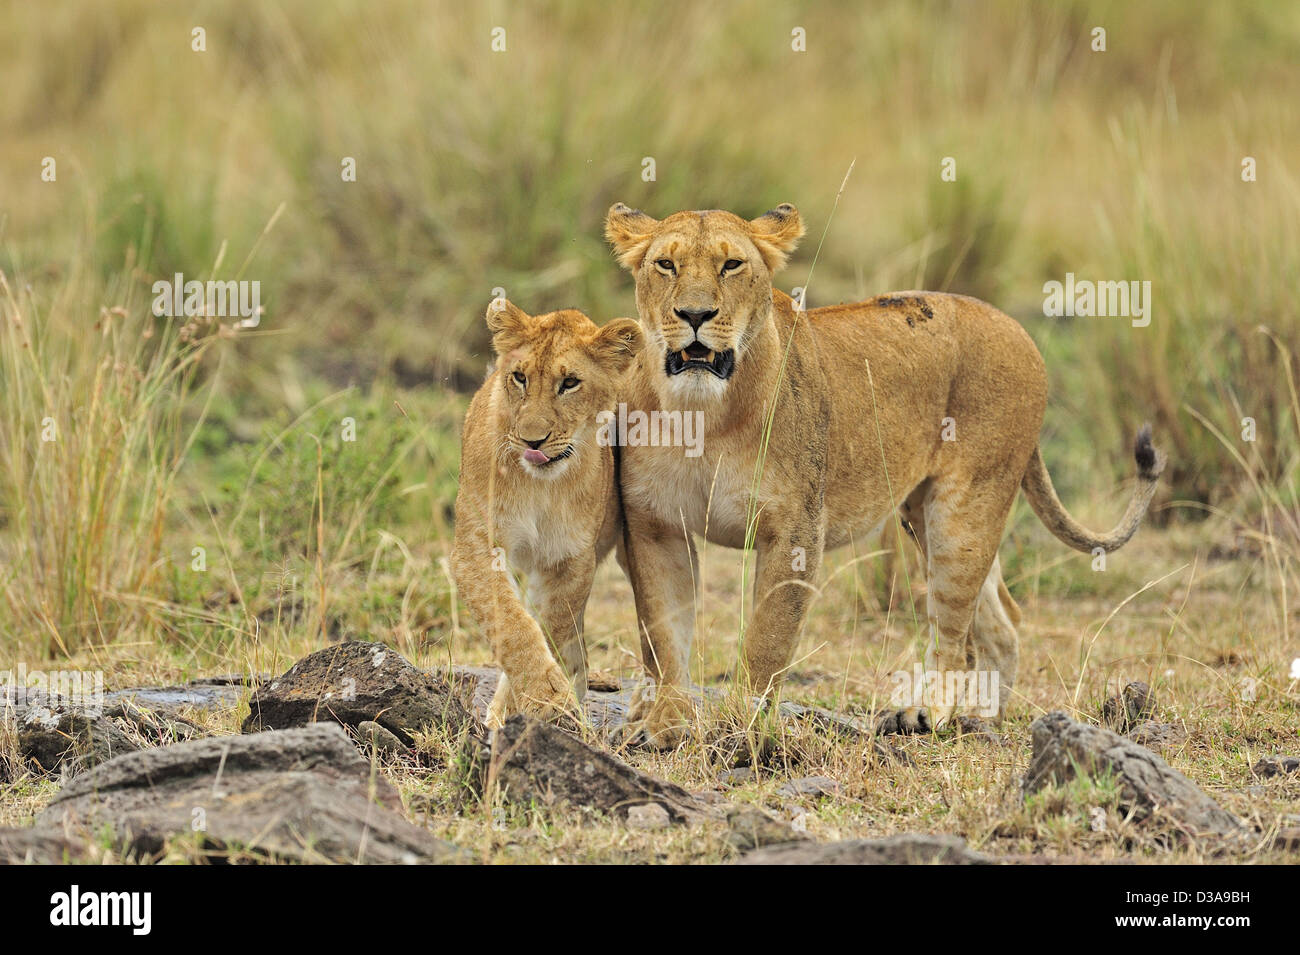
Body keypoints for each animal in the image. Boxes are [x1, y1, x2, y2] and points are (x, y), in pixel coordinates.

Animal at [451, 299, 643, 727]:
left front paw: (533, 706)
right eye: (519, 377)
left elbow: (549, 628)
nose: (532, 440)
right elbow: (513, 625)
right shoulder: (474, 547)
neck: (541, 486)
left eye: (569, 383)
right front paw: (546, 699)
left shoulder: (568, 561)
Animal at [605, 202, 1166, 746]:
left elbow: (767, 638)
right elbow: (663, 634)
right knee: (1002, 617)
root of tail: (1015, 327)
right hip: (927, 516)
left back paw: (928, 714)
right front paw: (665, 724)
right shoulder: (655, 525)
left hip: (964, 511)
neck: (703, 415)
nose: (695, 314)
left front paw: (738, 727)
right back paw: (983, 716)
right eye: (666, 264)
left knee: (955, 635)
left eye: (732, 265)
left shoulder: (793, 530)